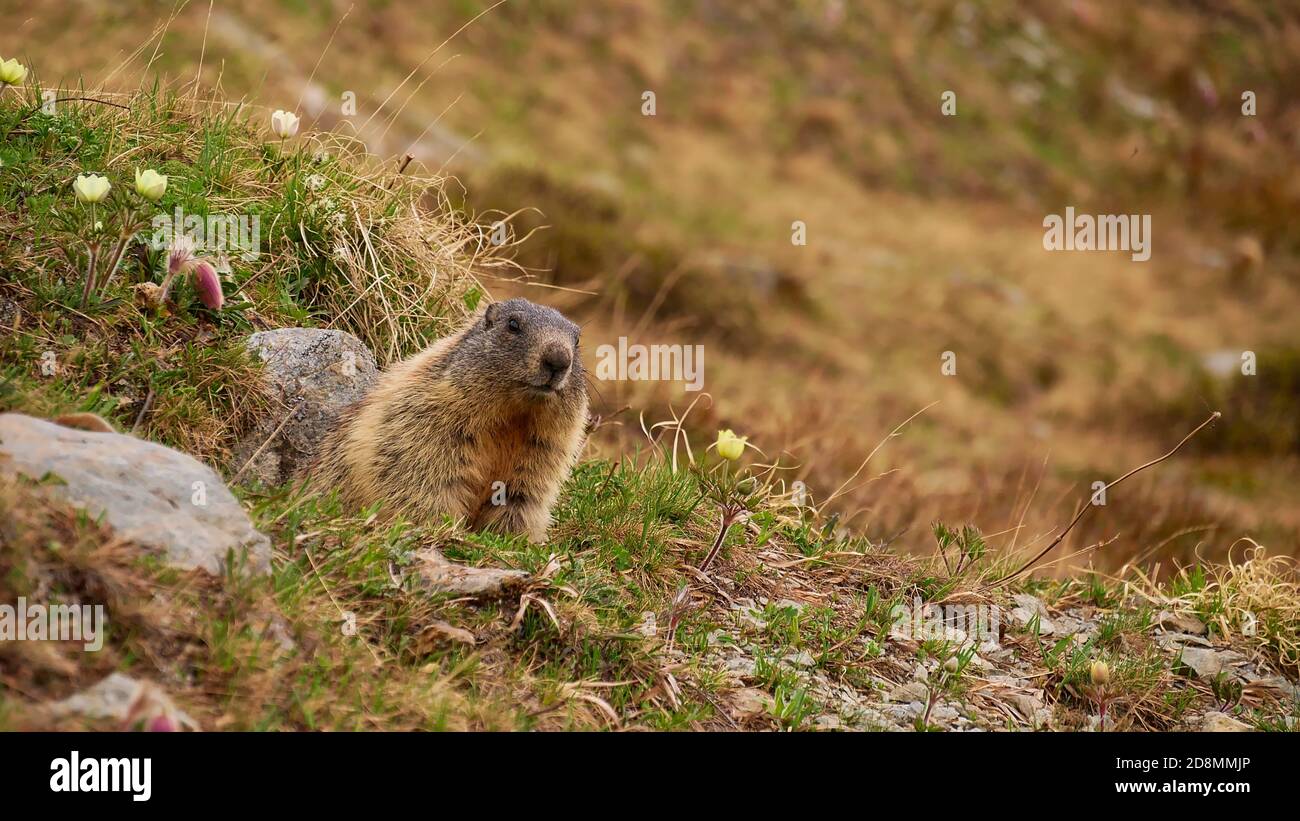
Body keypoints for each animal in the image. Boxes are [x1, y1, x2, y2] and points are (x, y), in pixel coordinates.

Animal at [307, 298, 588, 543]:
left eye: (577, 340)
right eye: (513, 325)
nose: (559, 359)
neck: (514, 419)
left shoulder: (544, 450)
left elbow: (523, 495)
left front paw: (517, 539)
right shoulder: (425, 421)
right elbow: (426, 478)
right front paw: (442, 527)